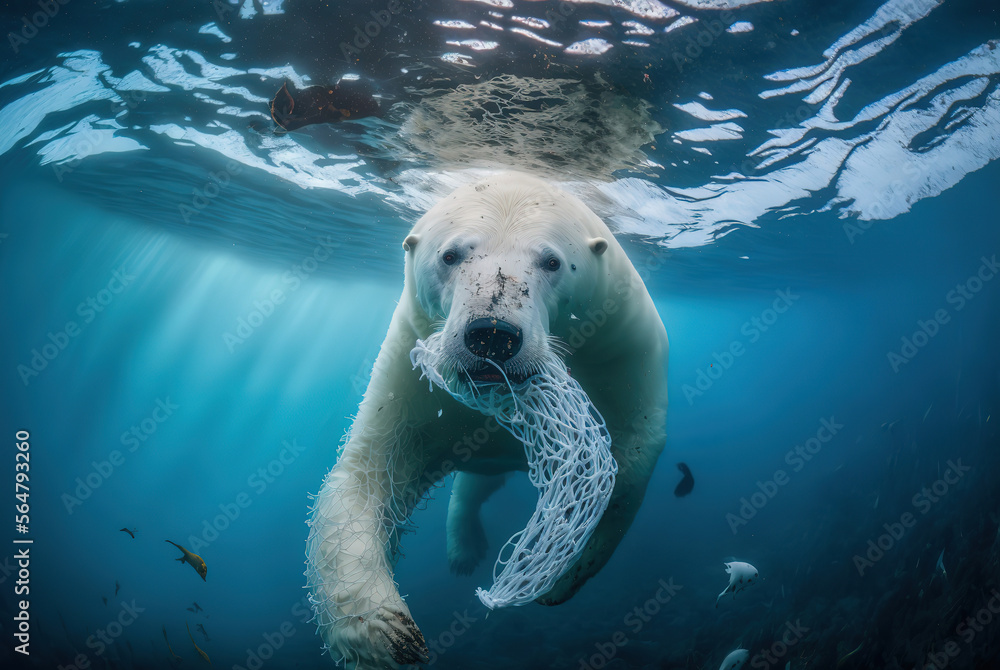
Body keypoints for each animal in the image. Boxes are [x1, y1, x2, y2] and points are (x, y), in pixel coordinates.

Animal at [305, 171, 669, 668]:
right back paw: (463, 552)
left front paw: (558, 576)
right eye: (450, 254)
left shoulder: (624, 350)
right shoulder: (412, 361)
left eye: (552, 261)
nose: (493, 334)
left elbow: (628, 461)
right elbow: (367, 473)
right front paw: (384, 635)